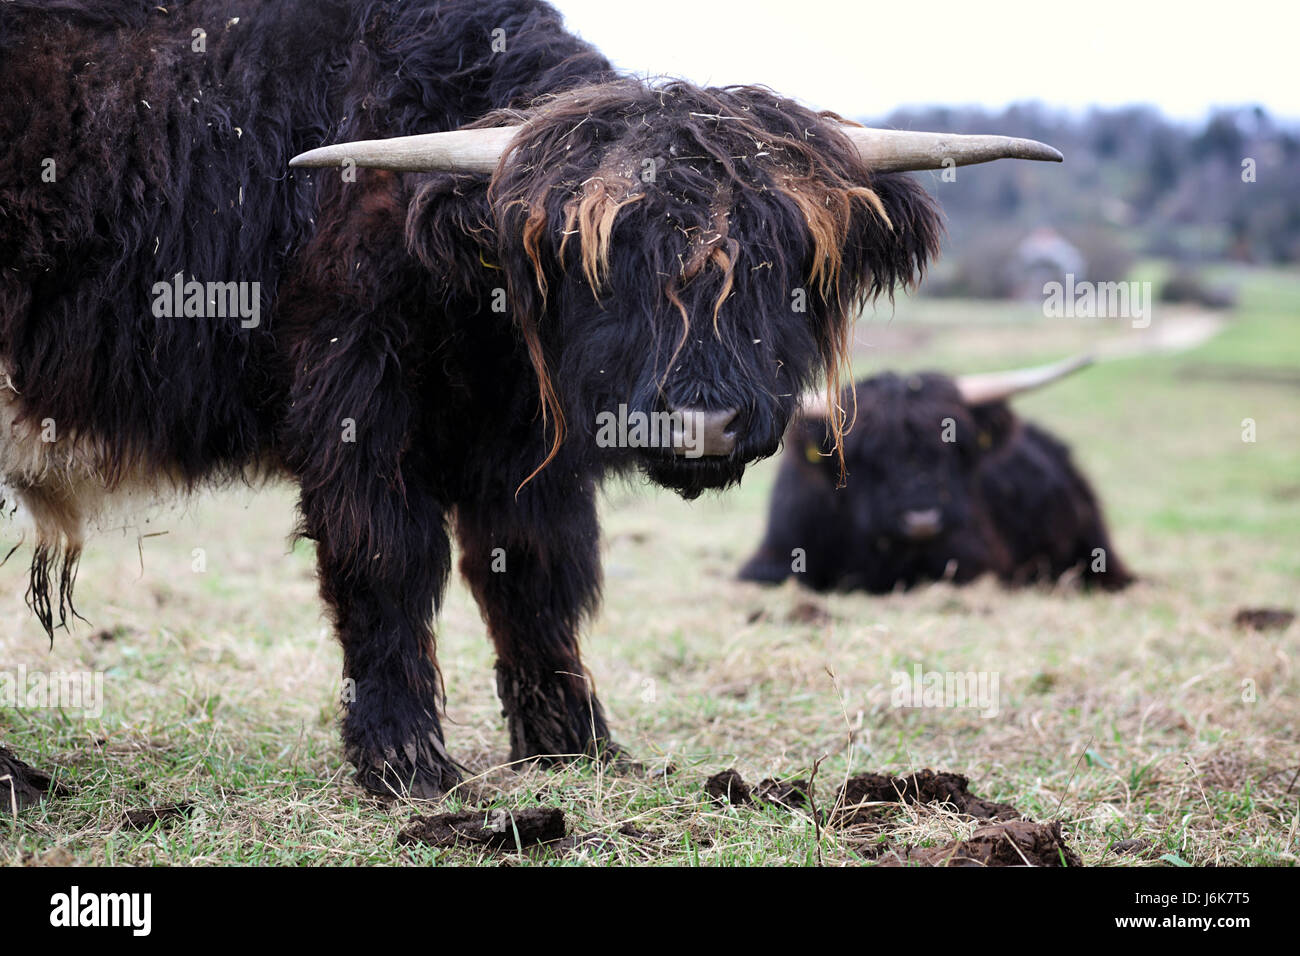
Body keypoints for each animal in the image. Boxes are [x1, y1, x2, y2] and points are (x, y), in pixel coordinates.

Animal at [0, 0, 1062, 798]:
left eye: (780, 262)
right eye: (603, 263)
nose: (703, 421)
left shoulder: (522, 433)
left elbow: (536, 569)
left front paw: (576, 747)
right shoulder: (356, 399)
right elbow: (389, 561)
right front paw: (408, 765)